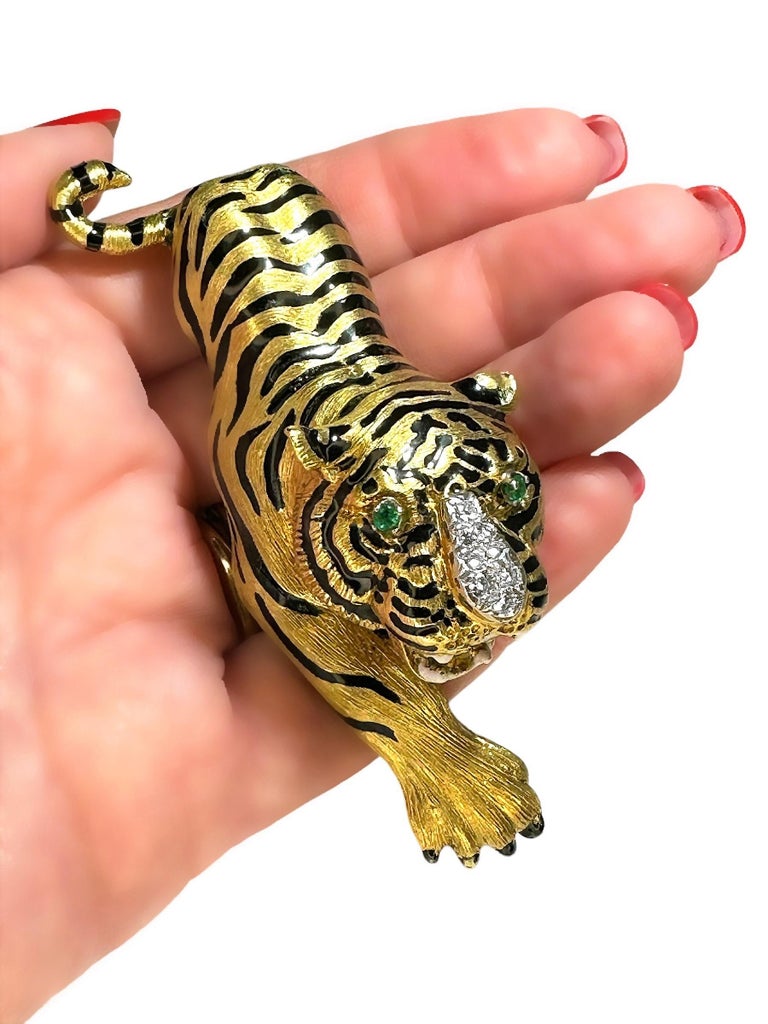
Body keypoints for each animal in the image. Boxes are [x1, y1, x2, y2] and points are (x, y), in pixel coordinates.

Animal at [49, 159, 548, 865]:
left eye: (515, 492)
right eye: (389, 519)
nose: (492, 616)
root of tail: (220, 178)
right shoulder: (293, 610)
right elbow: (384, 695)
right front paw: (476, 800)